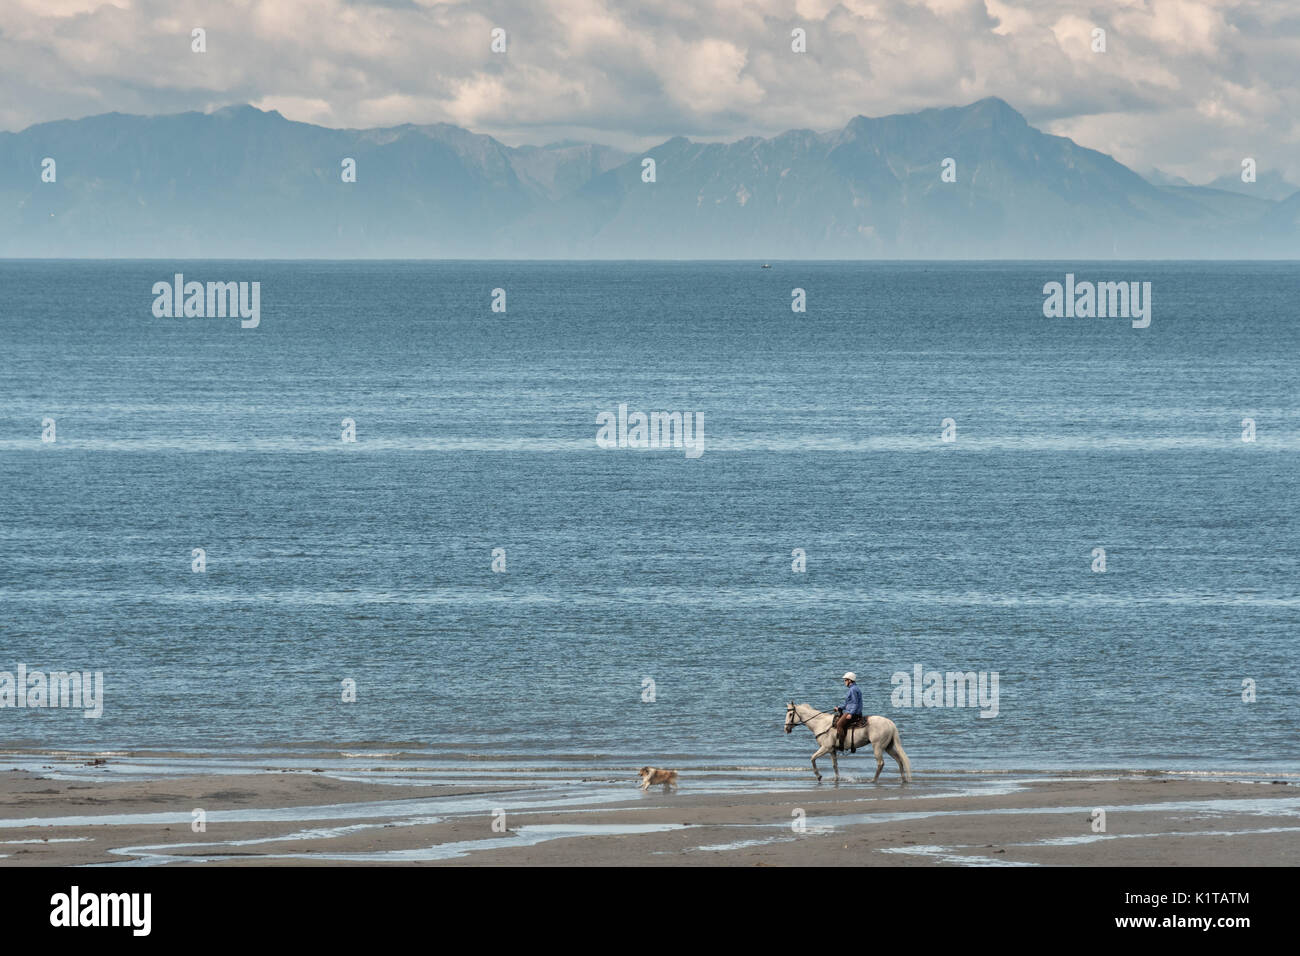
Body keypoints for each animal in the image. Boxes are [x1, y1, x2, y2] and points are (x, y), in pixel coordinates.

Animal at [784, 701, 912, 783]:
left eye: (790, 714)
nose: (786, 729)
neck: (821, 724)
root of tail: (890, 723)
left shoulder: (825, 748)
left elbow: (812, 758)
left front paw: (819, 776)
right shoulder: (832, 750)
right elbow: (835, 765)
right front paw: (836, 779)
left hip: (878, 747)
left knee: (880, 763)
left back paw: (873, 780)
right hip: (888, 747)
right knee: (899, 760)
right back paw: (904, 779)